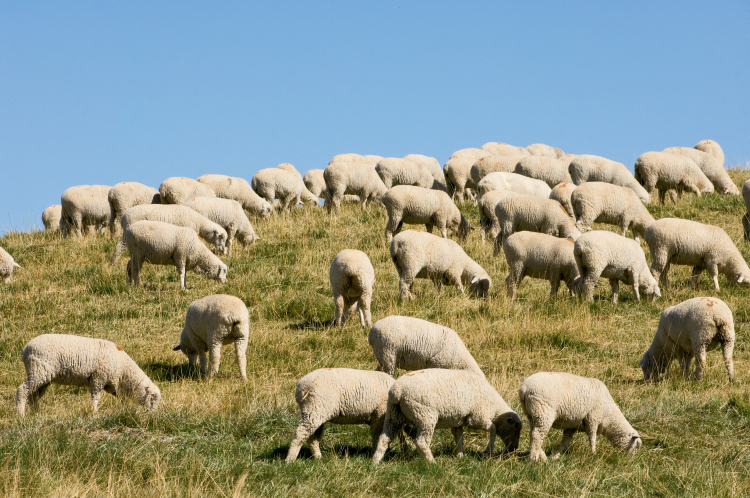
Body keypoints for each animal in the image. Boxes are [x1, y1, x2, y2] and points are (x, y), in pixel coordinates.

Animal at [16, 334, 161, 416]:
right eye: (153, 398)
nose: (153, 415)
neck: (123, 368)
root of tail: (25, 350)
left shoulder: (111, 385)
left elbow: (122, 399)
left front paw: (125, 409)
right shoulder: (98, 378)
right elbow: (96, 397)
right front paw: (94, 412)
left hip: (44, 377)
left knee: (33, 396)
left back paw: (36, 414)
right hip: (38, 370)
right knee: (22, 390)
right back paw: (21, 415)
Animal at [371, 369, 522, 463]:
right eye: (515, 428)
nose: (514, 448)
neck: (495, 406)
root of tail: (397, 391)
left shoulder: (458, 421)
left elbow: (459, 438)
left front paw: (460, 456)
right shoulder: (477, 416)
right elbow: (493, 429)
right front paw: (488, 451)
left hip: (393, 415)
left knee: (384, 438)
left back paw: (375, 462)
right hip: (425, 415)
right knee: (421, 442)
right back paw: (432, 462)